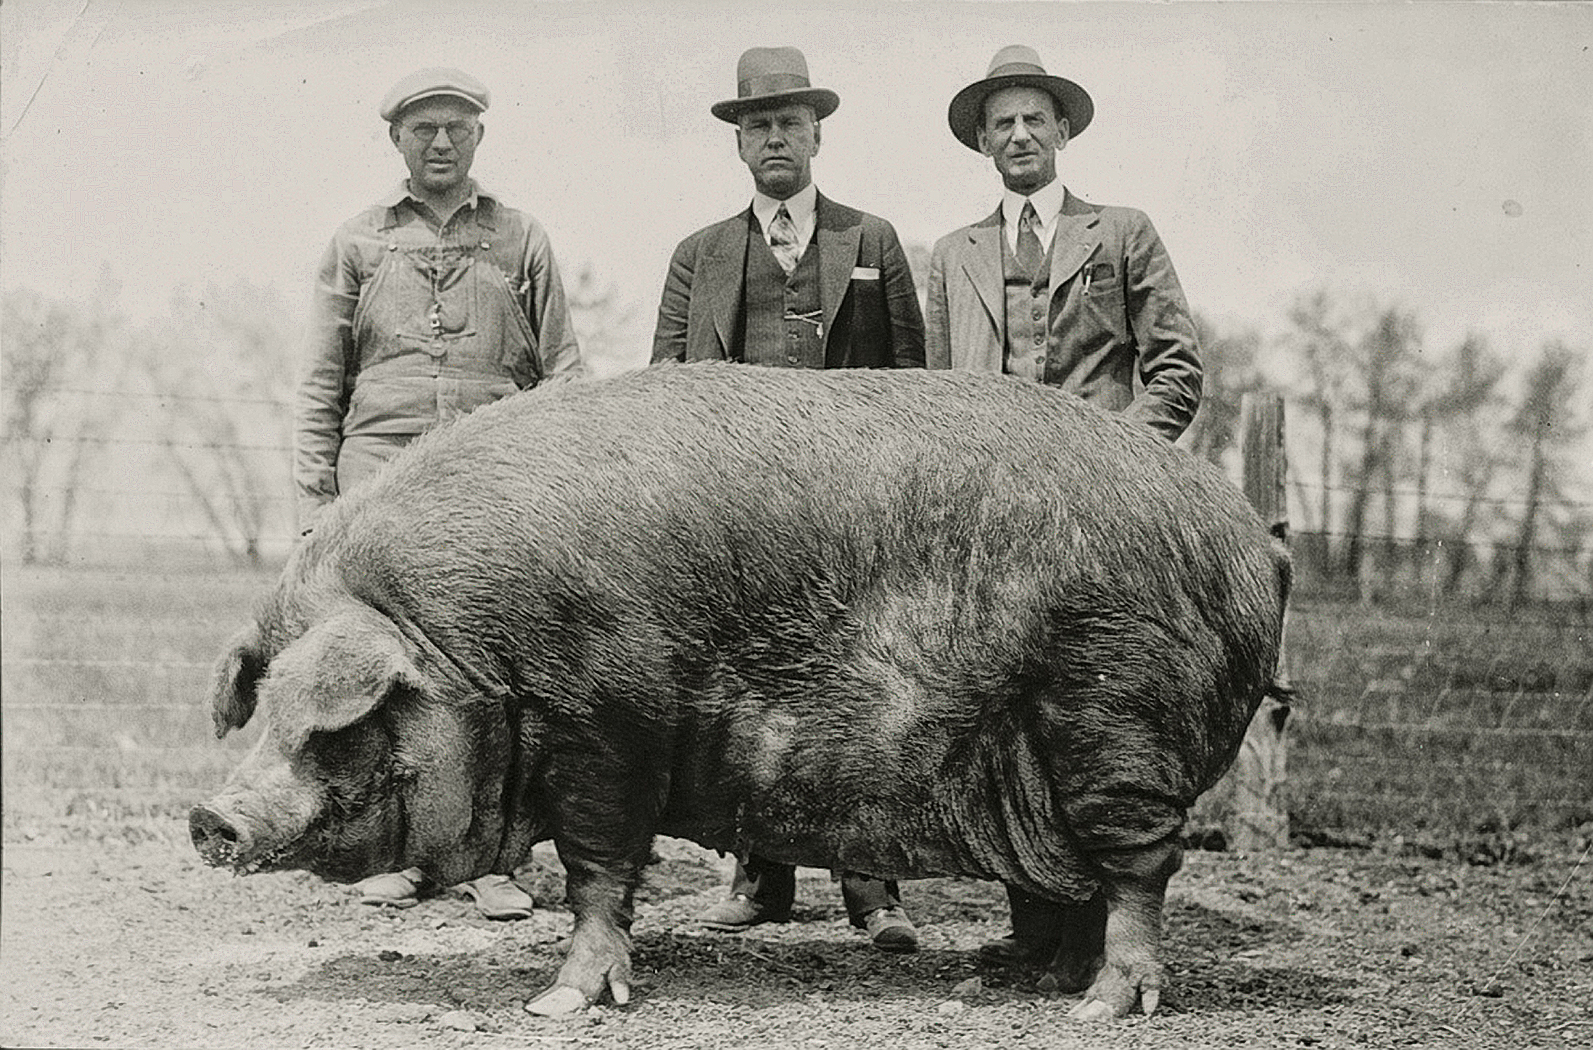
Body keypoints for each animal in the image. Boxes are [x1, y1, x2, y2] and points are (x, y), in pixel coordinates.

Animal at [190, 362, 1289, 1021]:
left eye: (335, 727)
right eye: (264, 713)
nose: (210, 817)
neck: (469, 653)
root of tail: (1248, 535)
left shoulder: (608, 730)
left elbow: (598, 873)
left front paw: (560, 1005)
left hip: (1117, 730)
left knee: (1138, 873)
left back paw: (1099, 1006)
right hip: (1049, 768)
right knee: (1071, 883)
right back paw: (1012, 973)